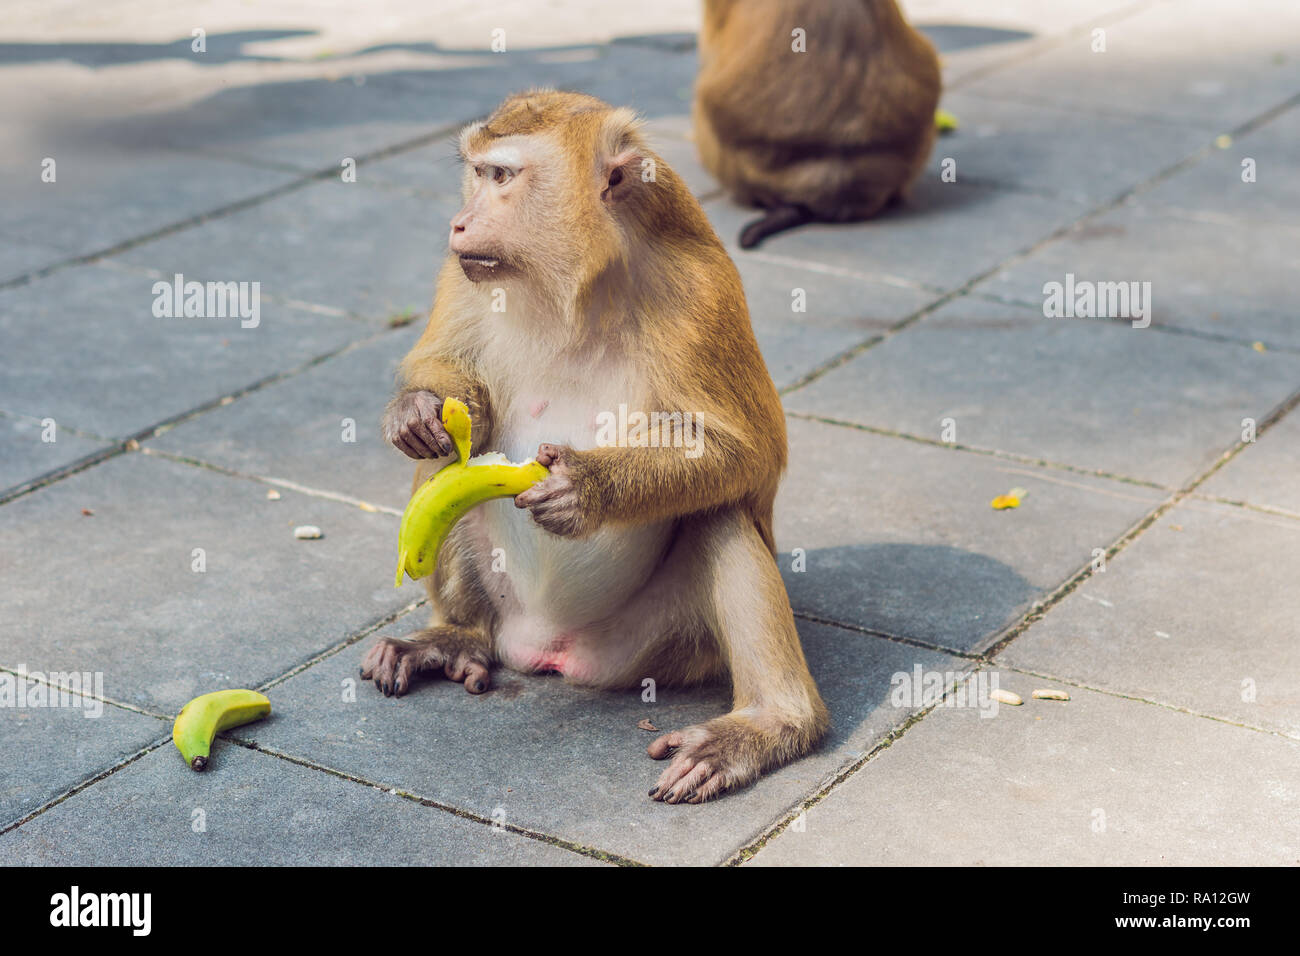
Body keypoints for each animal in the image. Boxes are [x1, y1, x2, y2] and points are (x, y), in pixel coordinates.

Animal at [360, 90, 828, 804]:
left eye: (502, 176)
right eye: (476, 173)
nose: (460, 224)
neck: (571, 293)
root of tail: (546, 648)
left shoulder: (702, 295)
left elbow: (749, 452)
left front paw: (586, 487)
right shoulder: (462, 276)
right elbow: (445, 383)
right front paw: (416, 409)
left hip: (662, 647)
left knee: (718, 515)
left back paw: (768, 724)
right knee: (445, 462)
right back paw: (456, 638)